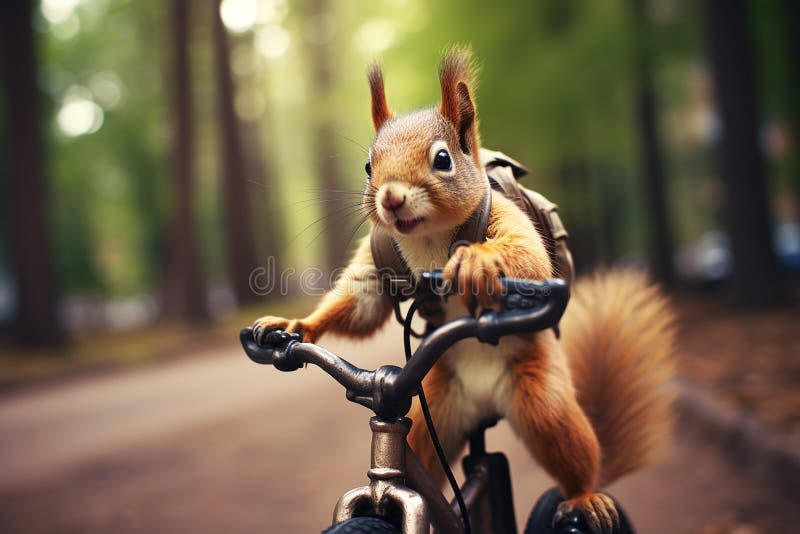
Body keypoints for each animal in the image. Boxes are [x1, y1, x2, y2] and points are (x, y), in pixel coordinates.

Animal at [252, 48, 676, 533]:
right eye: (368, 166)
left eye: (442, 159)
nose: (391, 198)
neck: (429, 239)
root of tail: (485, 404)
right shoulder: (378, 256)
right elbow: (362, 303)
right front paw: (292, 326)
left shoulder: (505, 218)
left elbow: (530, 259)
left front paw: (477, 262)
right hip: (433, 408)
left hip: (541, 399)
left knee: (572, 455)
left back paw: (585, 497)